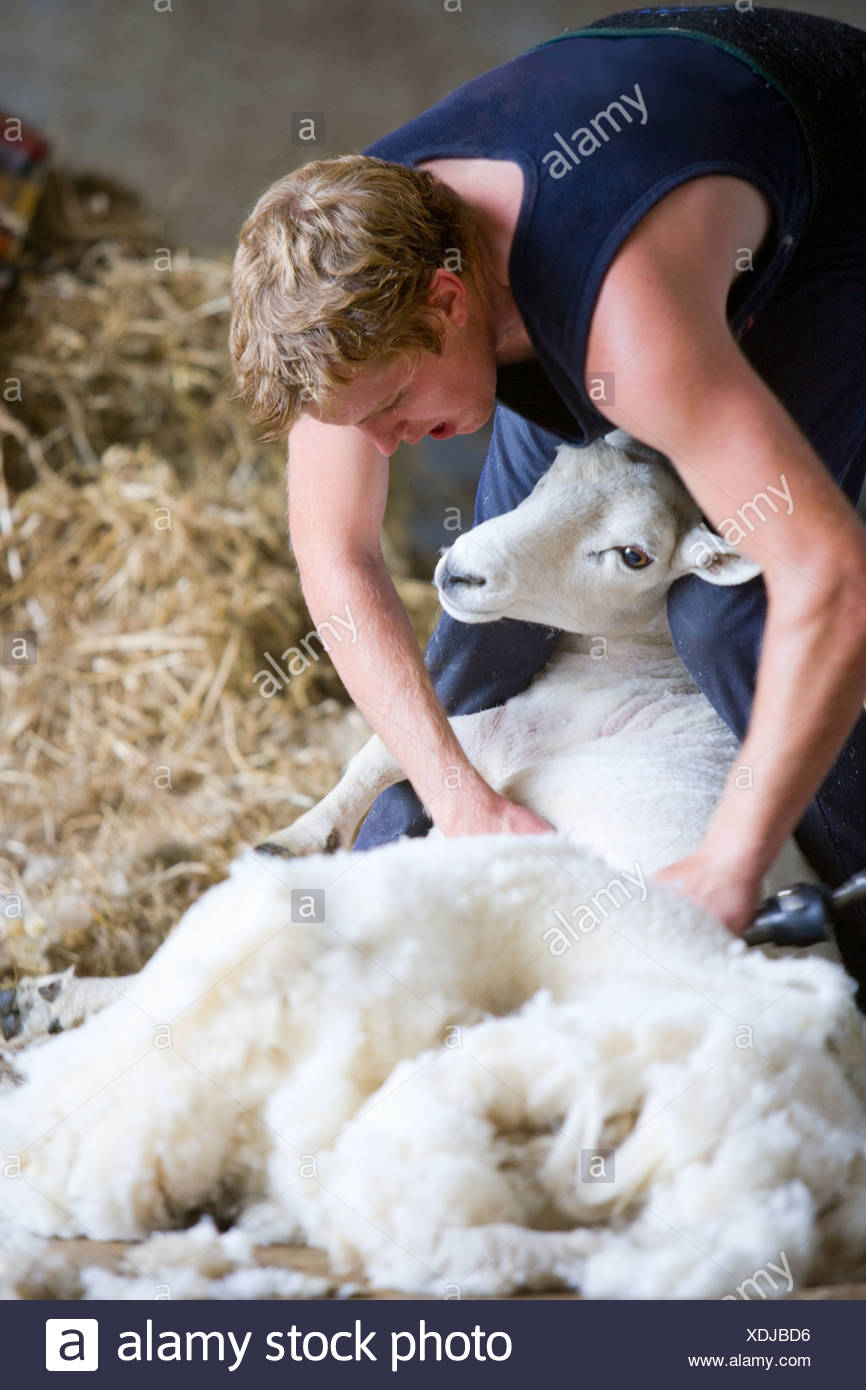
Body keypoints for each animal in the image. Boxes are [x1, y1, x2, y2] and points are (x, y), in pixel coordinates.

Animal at [0, 431, 818, 1049]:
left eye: (634, 556)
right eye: (552, 470)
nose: (462, 571)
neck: (640, 660)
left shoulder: (512, 737)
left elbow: (384, 751)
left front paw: (295, 840)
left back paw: (50, 1002)